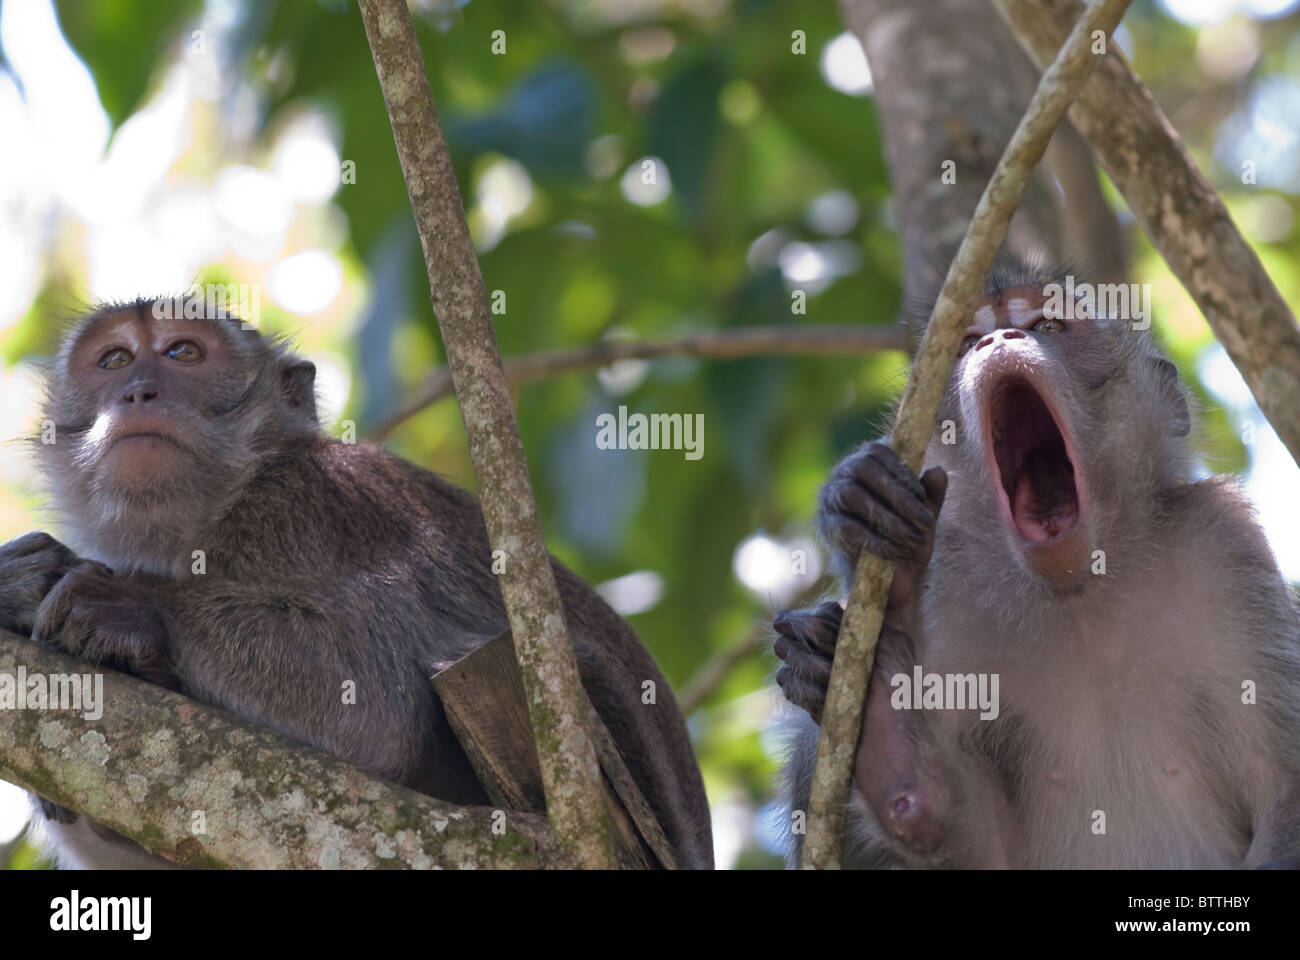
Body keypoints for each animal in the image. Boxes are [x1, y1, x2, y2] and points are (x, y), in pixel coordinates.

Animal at [0, 296, 714, 869]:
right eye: (115, 360)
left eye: (183, 352)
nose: (138, 391)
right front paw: (23, 581)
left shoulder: (304, 511)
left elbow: (372, 702)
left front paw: (129, 606)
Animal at [774, 264, 1300, 868]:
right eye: (965, 343)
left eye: (1047, 325)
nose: (998, 339)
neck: (1081, 597)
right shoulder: (950, 602)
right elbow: (974, 846)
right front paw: (856, 499)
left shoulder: (1223, 542)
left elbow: (1283, 785)